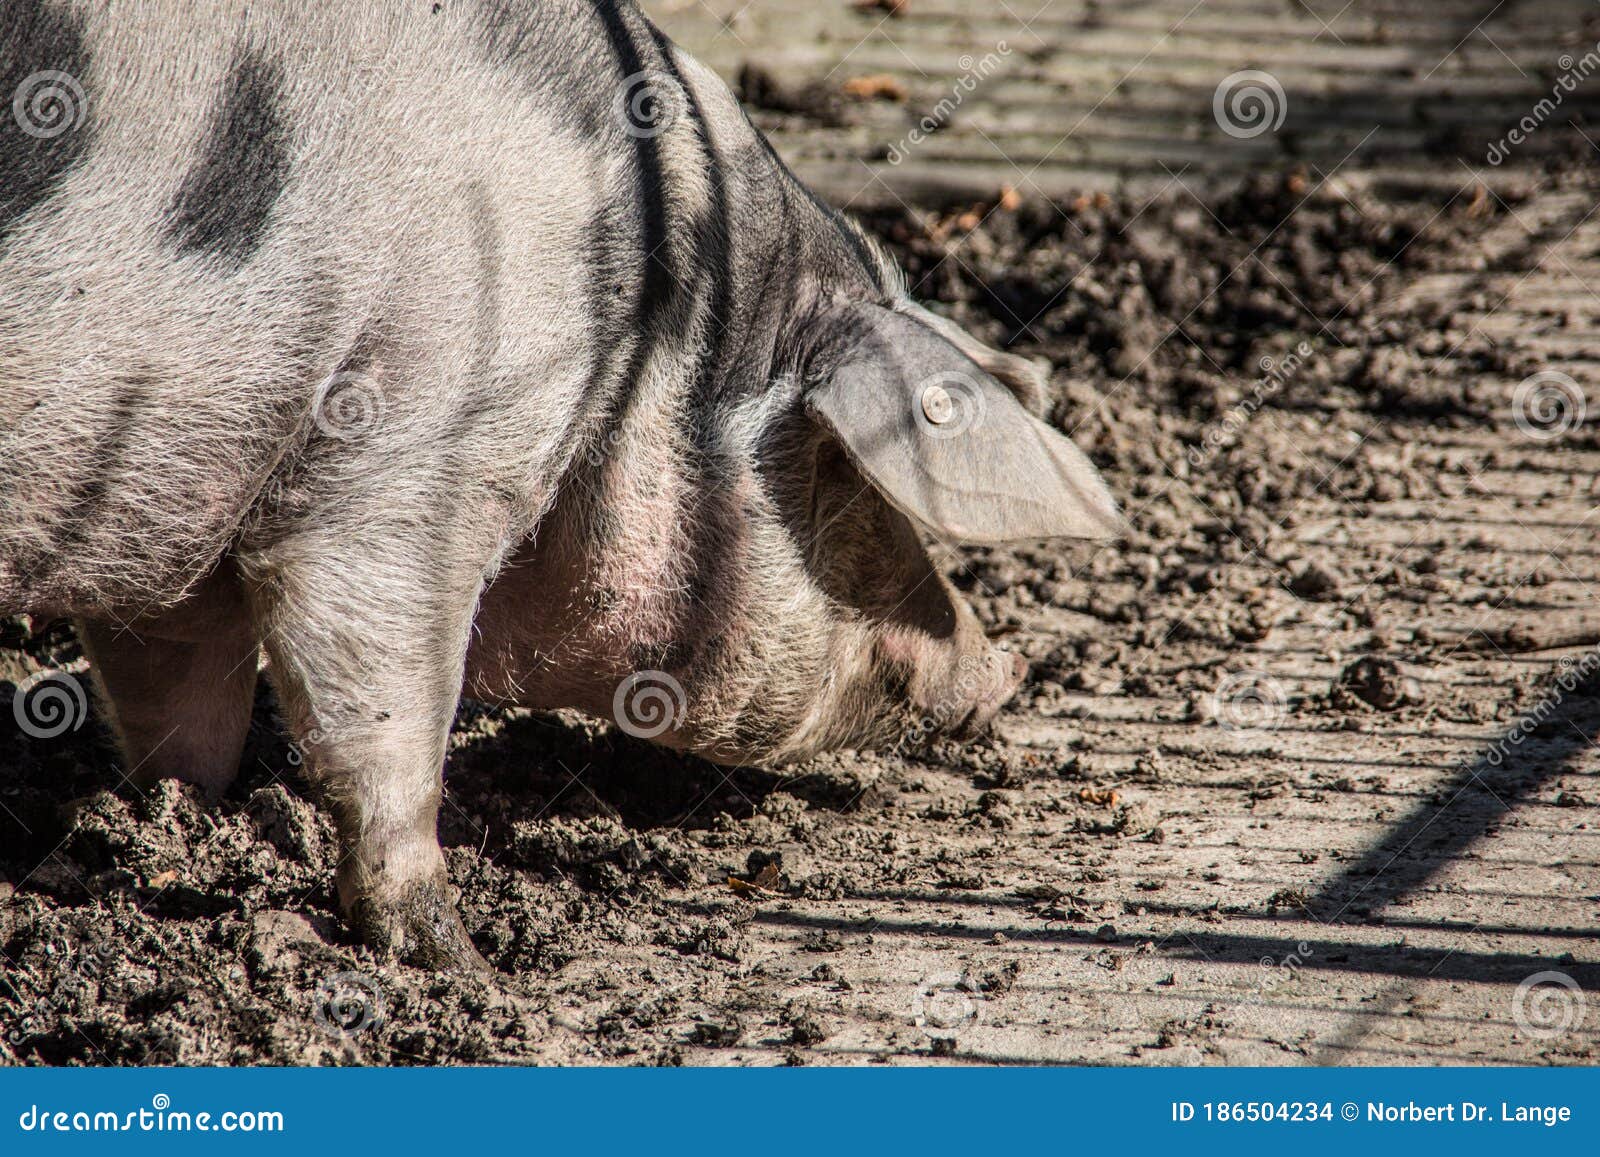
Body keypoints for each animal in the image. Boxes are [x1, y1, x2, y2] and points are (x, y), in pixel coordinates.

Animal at [0, 0, 1121, 969]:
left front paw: (177, 822)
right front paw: (456, 958)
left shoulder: (176, 501)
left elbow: (180, 691)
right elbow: (382, 696)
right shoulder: (411, 461)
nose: (1001, 670)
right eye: (843, 471)